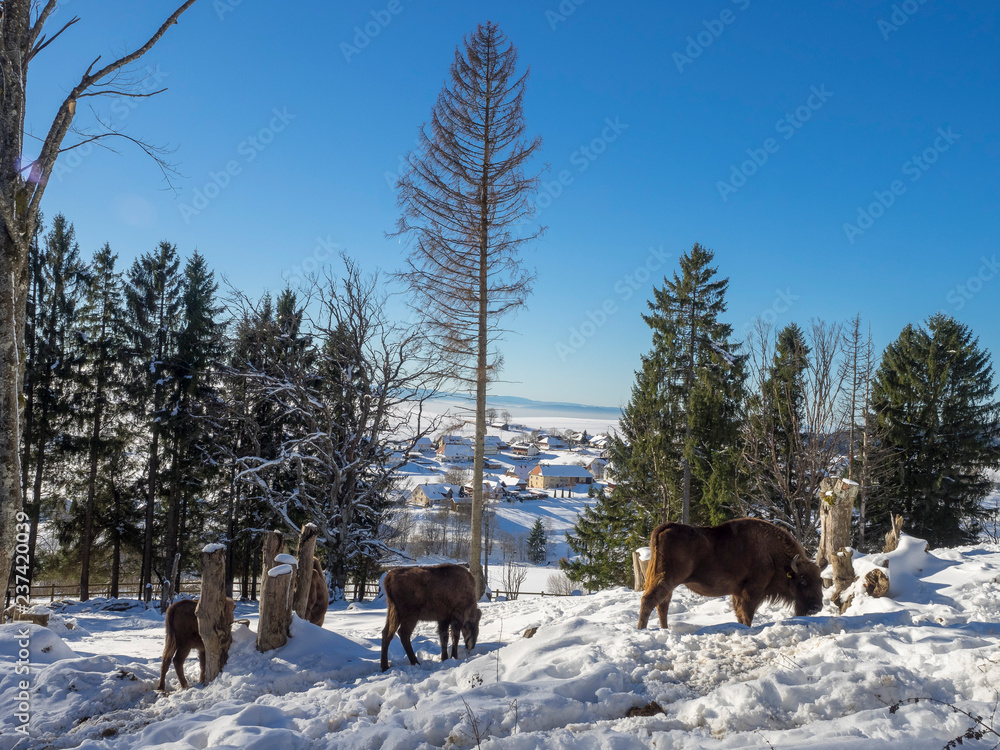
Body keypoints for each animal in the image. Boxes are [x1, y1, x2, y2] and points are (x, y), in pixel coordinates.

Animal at [637, 518, 824, 629]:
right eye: (802, 581)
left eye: (820, 582)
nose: (817, 607)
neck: (772, 556)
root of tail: (666, 527)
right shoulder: (751, 593)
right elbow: (746, 614)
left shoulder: (737, 593)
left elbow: (740, 613)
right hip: (666, 579)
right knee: (649, 601)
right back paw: (642, 629)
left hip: (667, 583)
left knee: (662, 604)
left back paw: (664, 629)